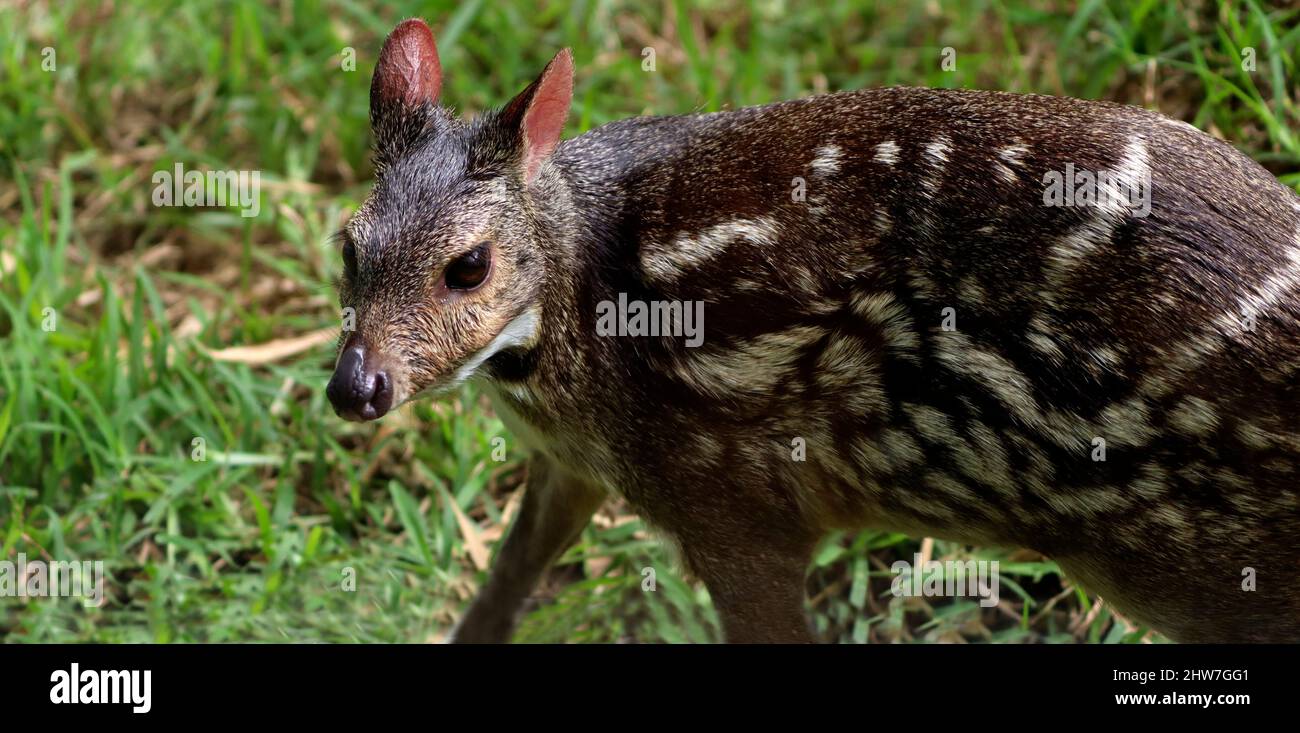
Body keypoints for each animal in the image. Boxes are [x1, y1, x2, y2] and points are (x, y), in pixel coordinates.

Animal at [326, 18, 1300, 643]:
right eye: (348, 243)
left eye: (469, 265)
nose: (353, 385)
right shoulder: (575, 464)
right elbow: (508, 578)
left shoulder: (733, 500)